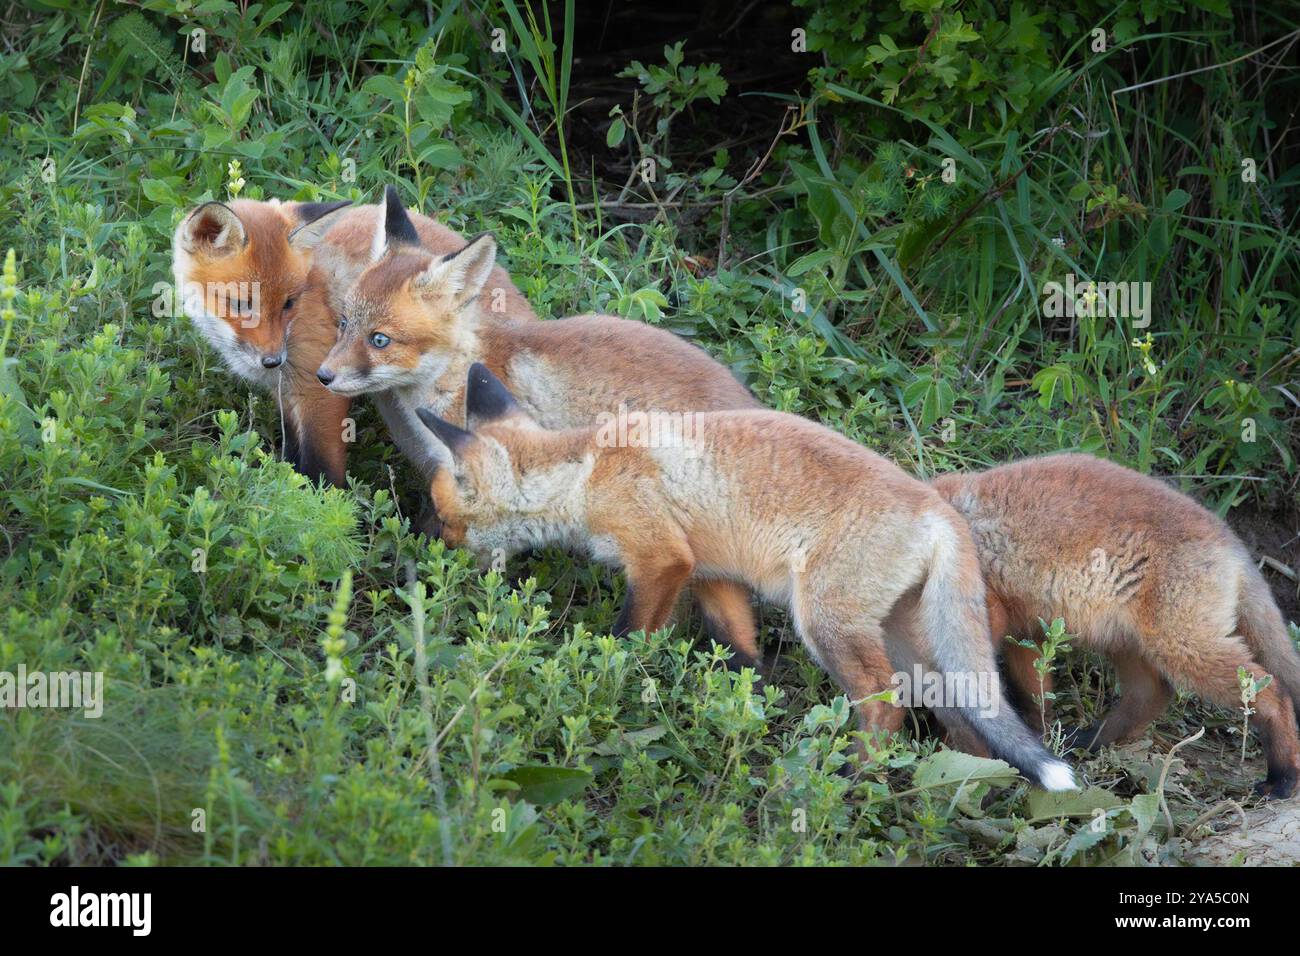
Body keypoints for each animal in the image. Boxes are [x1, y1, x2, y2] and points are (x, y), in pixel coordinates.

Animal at [171, 186, 535, 486]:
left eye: (289, 303)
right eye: (240, 304)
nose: (273, 360)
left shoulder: (319, 389)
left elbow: (321, 470)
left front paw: (320, 508)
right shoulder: (285, 393)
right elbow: (292, 455)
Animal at [409, 363, 1079, 791]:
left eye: (444, 516)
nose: (426, 554)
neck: (584, 470)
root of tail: (937, 509)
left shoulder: (660, 558)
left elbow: (627, 638)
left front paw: (606, 683)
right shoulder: (711, 575)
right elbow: (741, 652)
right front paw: (741, 705)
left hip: (829, 624)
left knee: (886, 706)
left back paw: (849, 781)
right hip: (909, 641)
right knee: (967, 723)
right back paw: (955, 790)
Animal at [930, 453, 1300, 798]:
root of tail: (1230, 539)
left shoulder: (986, 614)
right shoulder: (1023, 631)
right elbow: (1034, 697)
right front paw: (1034, 742)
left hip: (1183, 646)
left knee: (1274, 693)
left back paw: (1283, 777)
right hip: (1125, 639)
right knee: (1152, 693)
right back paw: (1094, 740)